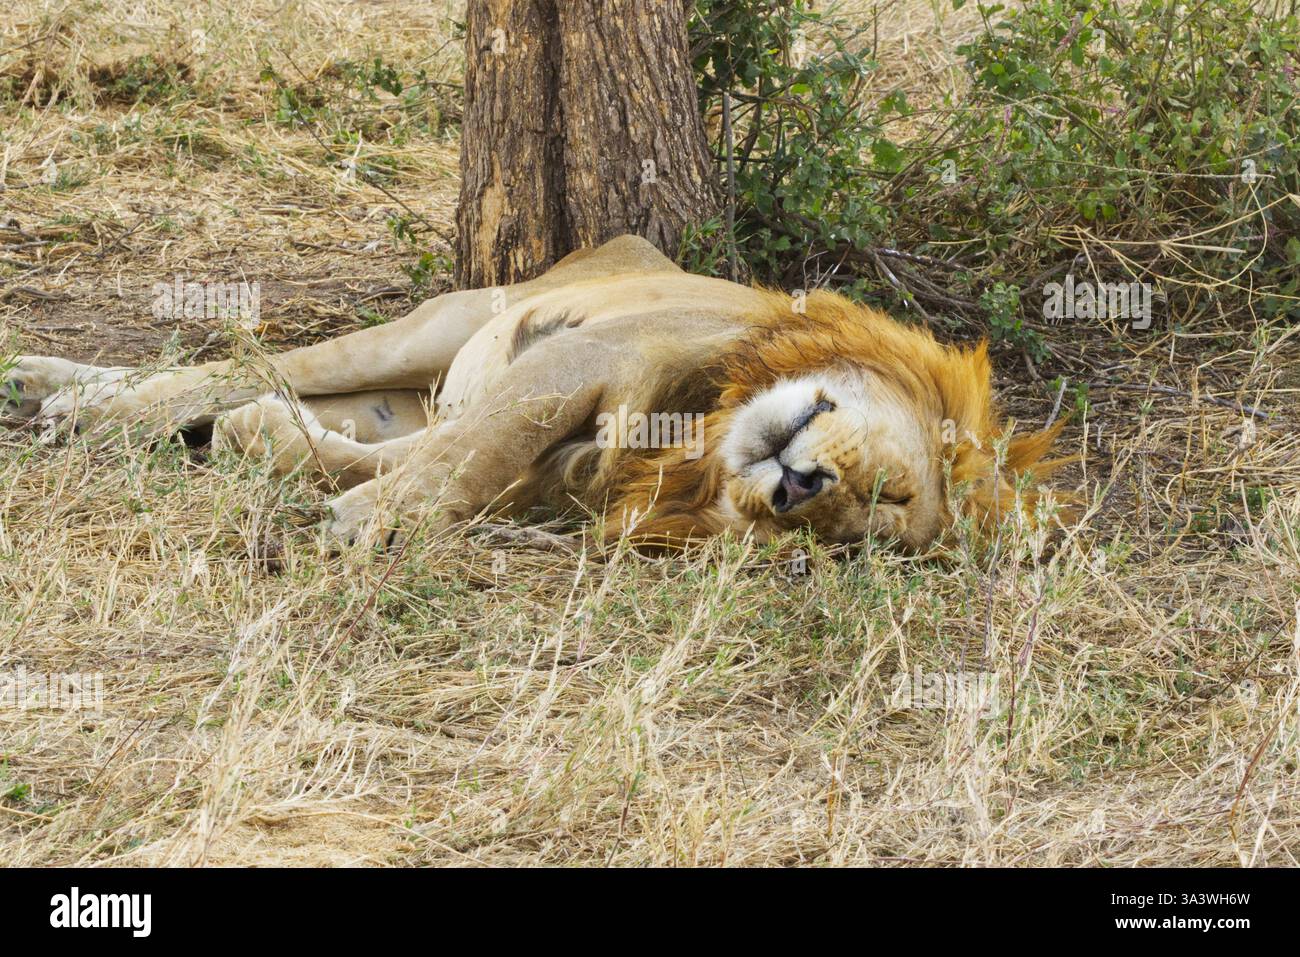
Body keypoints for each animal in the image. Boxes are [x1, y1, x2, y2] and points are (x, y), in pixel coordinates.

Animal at [3, 234, 1066, 550]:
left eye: (850, 529)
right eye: (891, 488)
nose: (800, 488)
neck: (703, 432)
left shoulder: (556, 478)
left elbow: (446, 463)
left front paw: (300, 466)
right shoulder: (587, 353)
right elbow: (482, 446)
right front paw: (370, 522)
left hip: (414, 385)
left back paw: (56, 388)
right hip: (443, 320)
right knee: (253, 358)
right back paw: (78, 402)